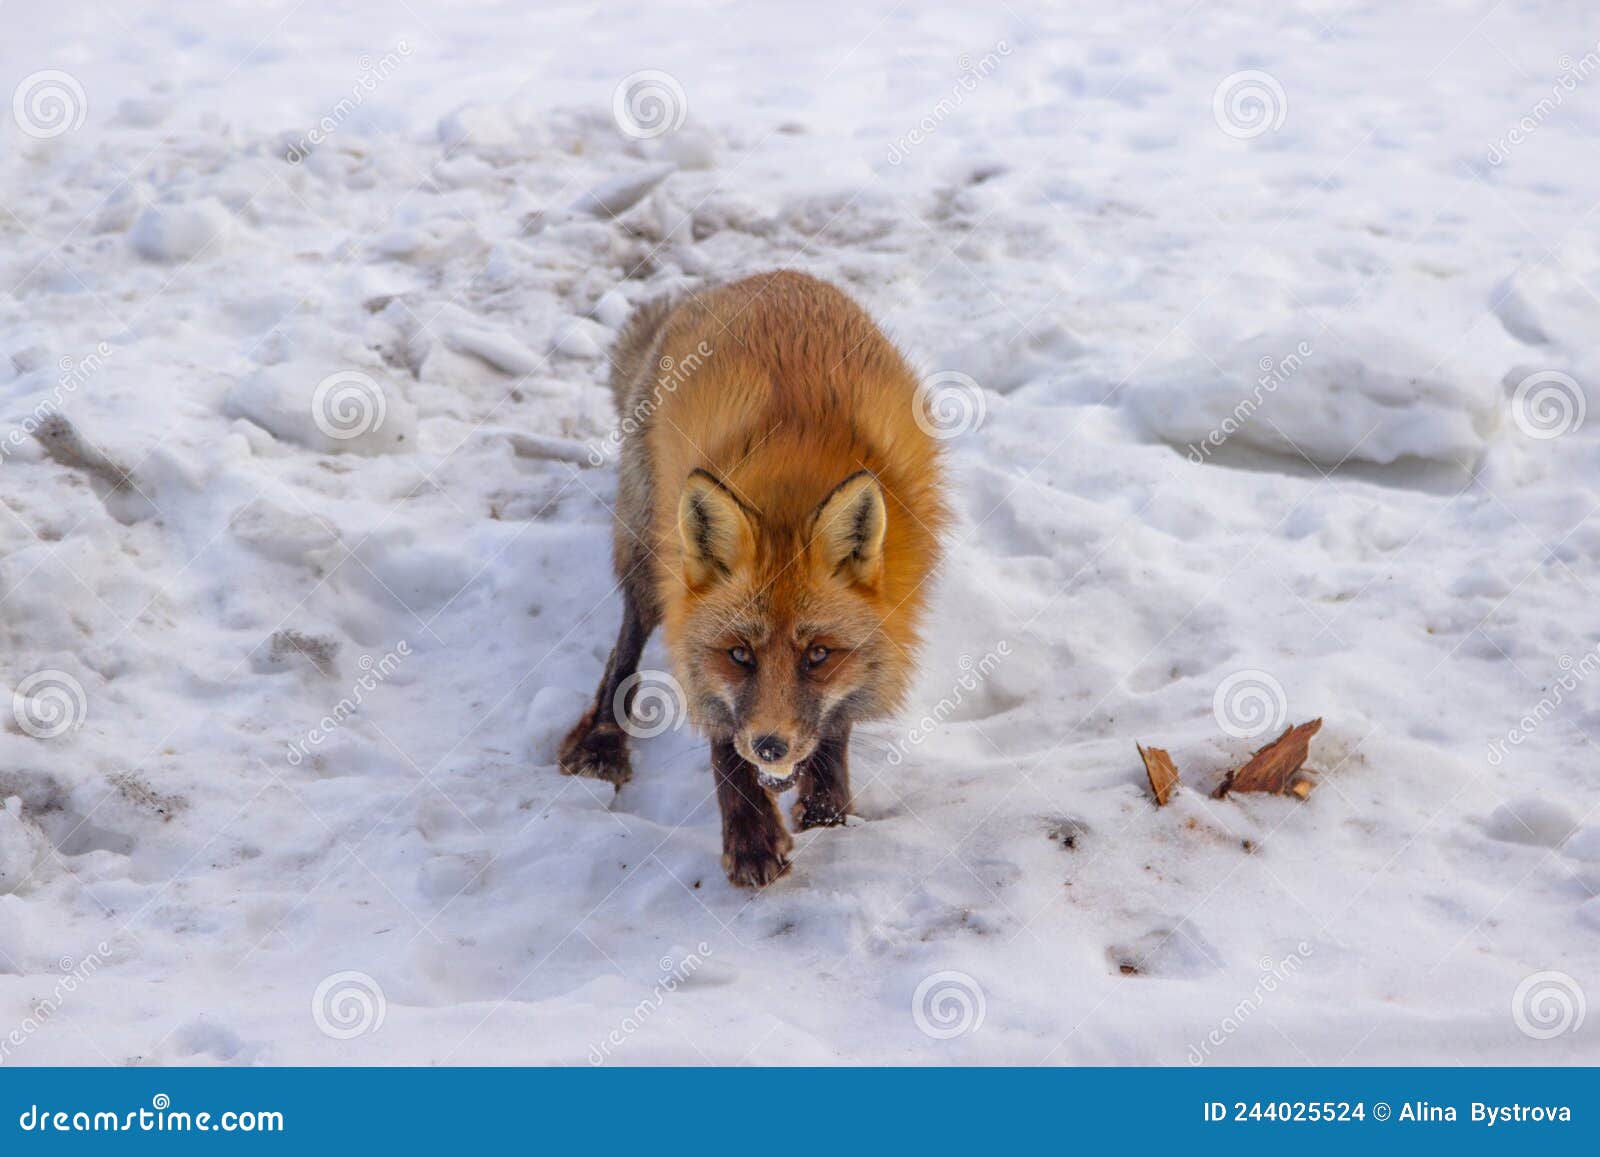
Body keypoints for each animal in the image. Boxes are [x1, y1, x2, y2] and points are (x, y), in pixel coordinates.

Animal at [558, 271, 949, 887]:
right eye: (739, 655)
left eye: (819, 655)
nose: (769, 746)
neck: (791, 484)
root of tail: (759, 278)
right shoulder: (690, 624)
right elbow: (723, 741)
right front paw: (751, 838)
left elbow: (834, 726)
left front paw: (826, 810)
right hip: (648, 545)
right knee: (628, 639)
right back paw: (602, 739)